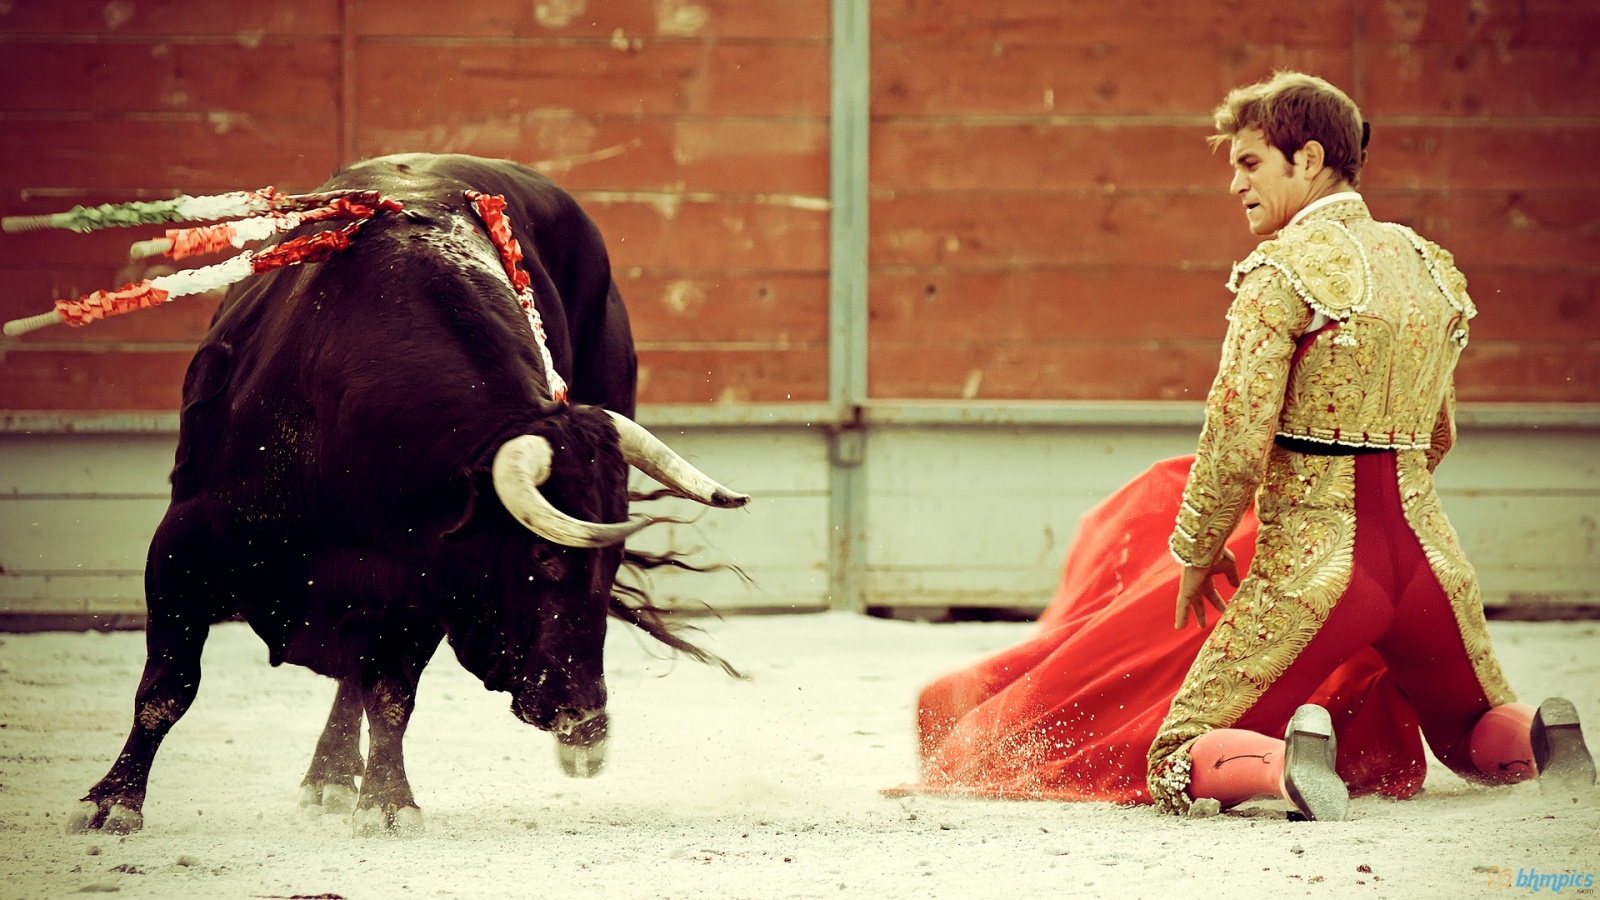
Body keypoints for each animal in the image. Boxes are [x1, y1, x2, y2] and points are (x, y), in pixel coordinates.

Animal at [66, 153, 748, 836]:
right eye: (545, 558)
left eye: (610, 566)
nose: (584, 719)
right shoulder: (182, 544)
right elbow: (167, 685)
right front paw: (113, 800)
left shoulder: (419, 579)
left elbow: (390, 694)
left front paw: (389, 803)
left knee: (356, 679)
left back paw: (333, 774)